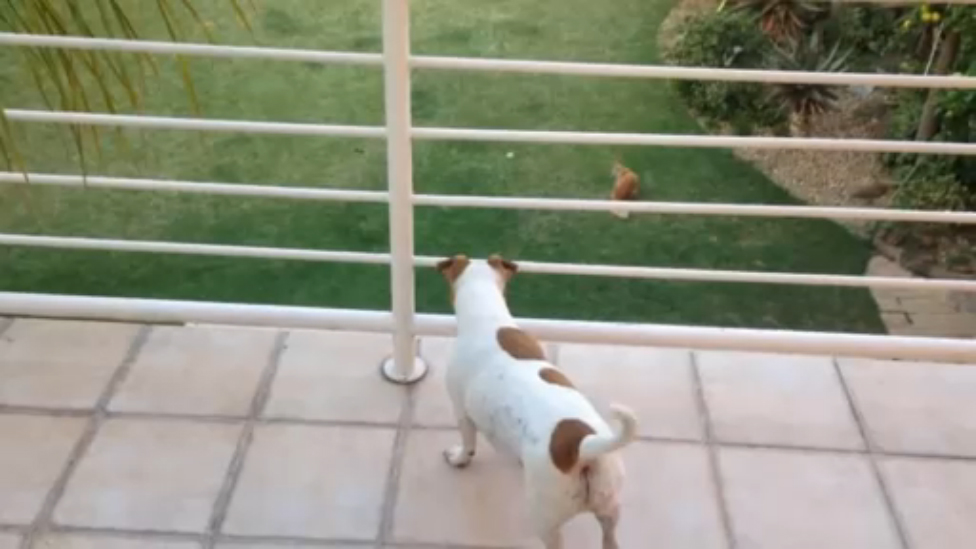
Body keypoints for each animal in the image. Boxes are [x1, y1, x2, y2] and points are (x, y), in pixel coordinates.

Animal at [435, 254, 638, 549]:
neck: (489, 320)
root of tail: (582, 447)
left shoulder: (461, 409)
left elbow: (467, 443)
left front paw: (459, 458)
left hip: (546, 520)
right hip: (610, 508)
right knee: (610, 539)